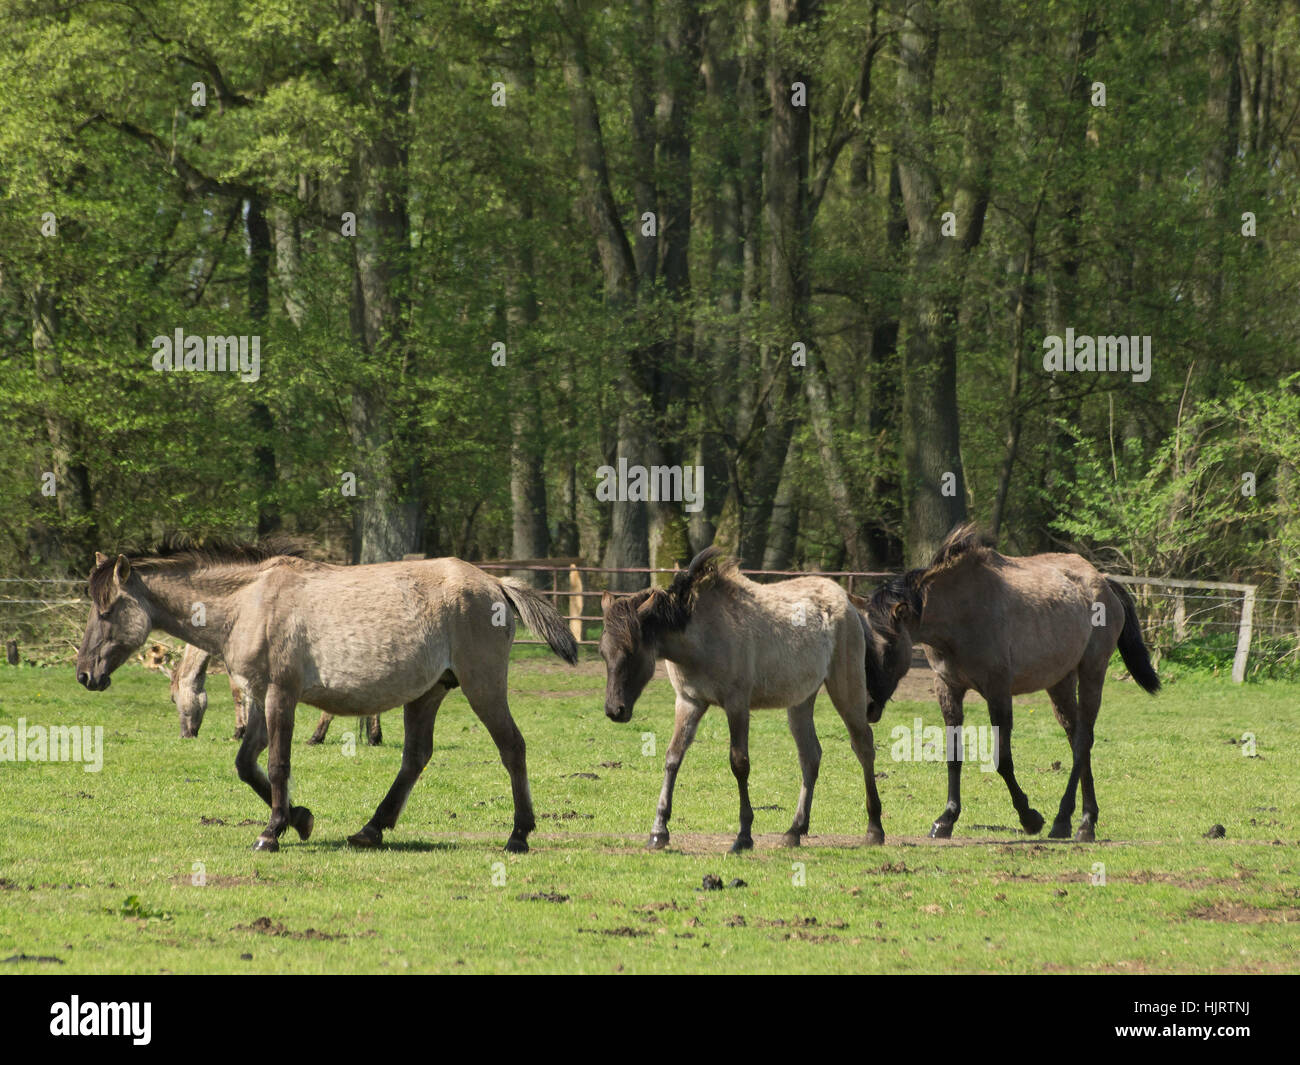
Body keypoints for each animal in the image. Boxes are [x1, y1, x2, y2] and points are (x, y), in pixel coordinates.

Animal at [76, 542, 578, 852]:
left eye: (107, 609)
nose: (84, 675)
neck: (248, 603)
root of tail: (496, 585)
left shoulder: (281, 695)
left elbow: (278, 763)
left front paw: (272, 832)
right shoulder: (258, 697)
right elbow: (246, 764)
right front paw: (299, 818)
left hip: (482, 686)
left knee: (512, 748)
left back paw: (518, 835)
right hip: (427, 694)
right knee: (415, 757)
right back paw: (371, 830)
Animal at [598, 547, 911, 851]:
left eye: (631, 651)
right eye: (603, 651)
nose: (615, 710)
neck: (702, 632)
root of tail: (846, 603)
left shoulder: (737, 705)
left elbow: (739, 763)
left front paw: (744, 836)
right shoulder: (688, 702)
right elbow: (673, 757)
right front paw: (658, 832)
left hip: (846, 689)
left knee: (863, 746)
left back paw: (874, 829)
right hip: (801, 700)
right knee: (810, 756)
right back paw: (794, 831)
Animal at [873, 524, 1160, 842]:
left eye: (888, 647)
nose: (870, 708)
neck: (961, 611)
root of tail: (1104, 582)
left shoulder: (998, 690)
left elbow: (1002, 759)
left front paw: (1030, 818)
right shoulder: (948, 687)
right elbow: (954, 754)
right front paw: (946, 819)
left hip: (1092, 672)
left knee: (1083, 741)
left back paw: (1071, 822)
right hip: (1060, 682)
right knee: (1077, 738)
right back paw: (1084, 819)